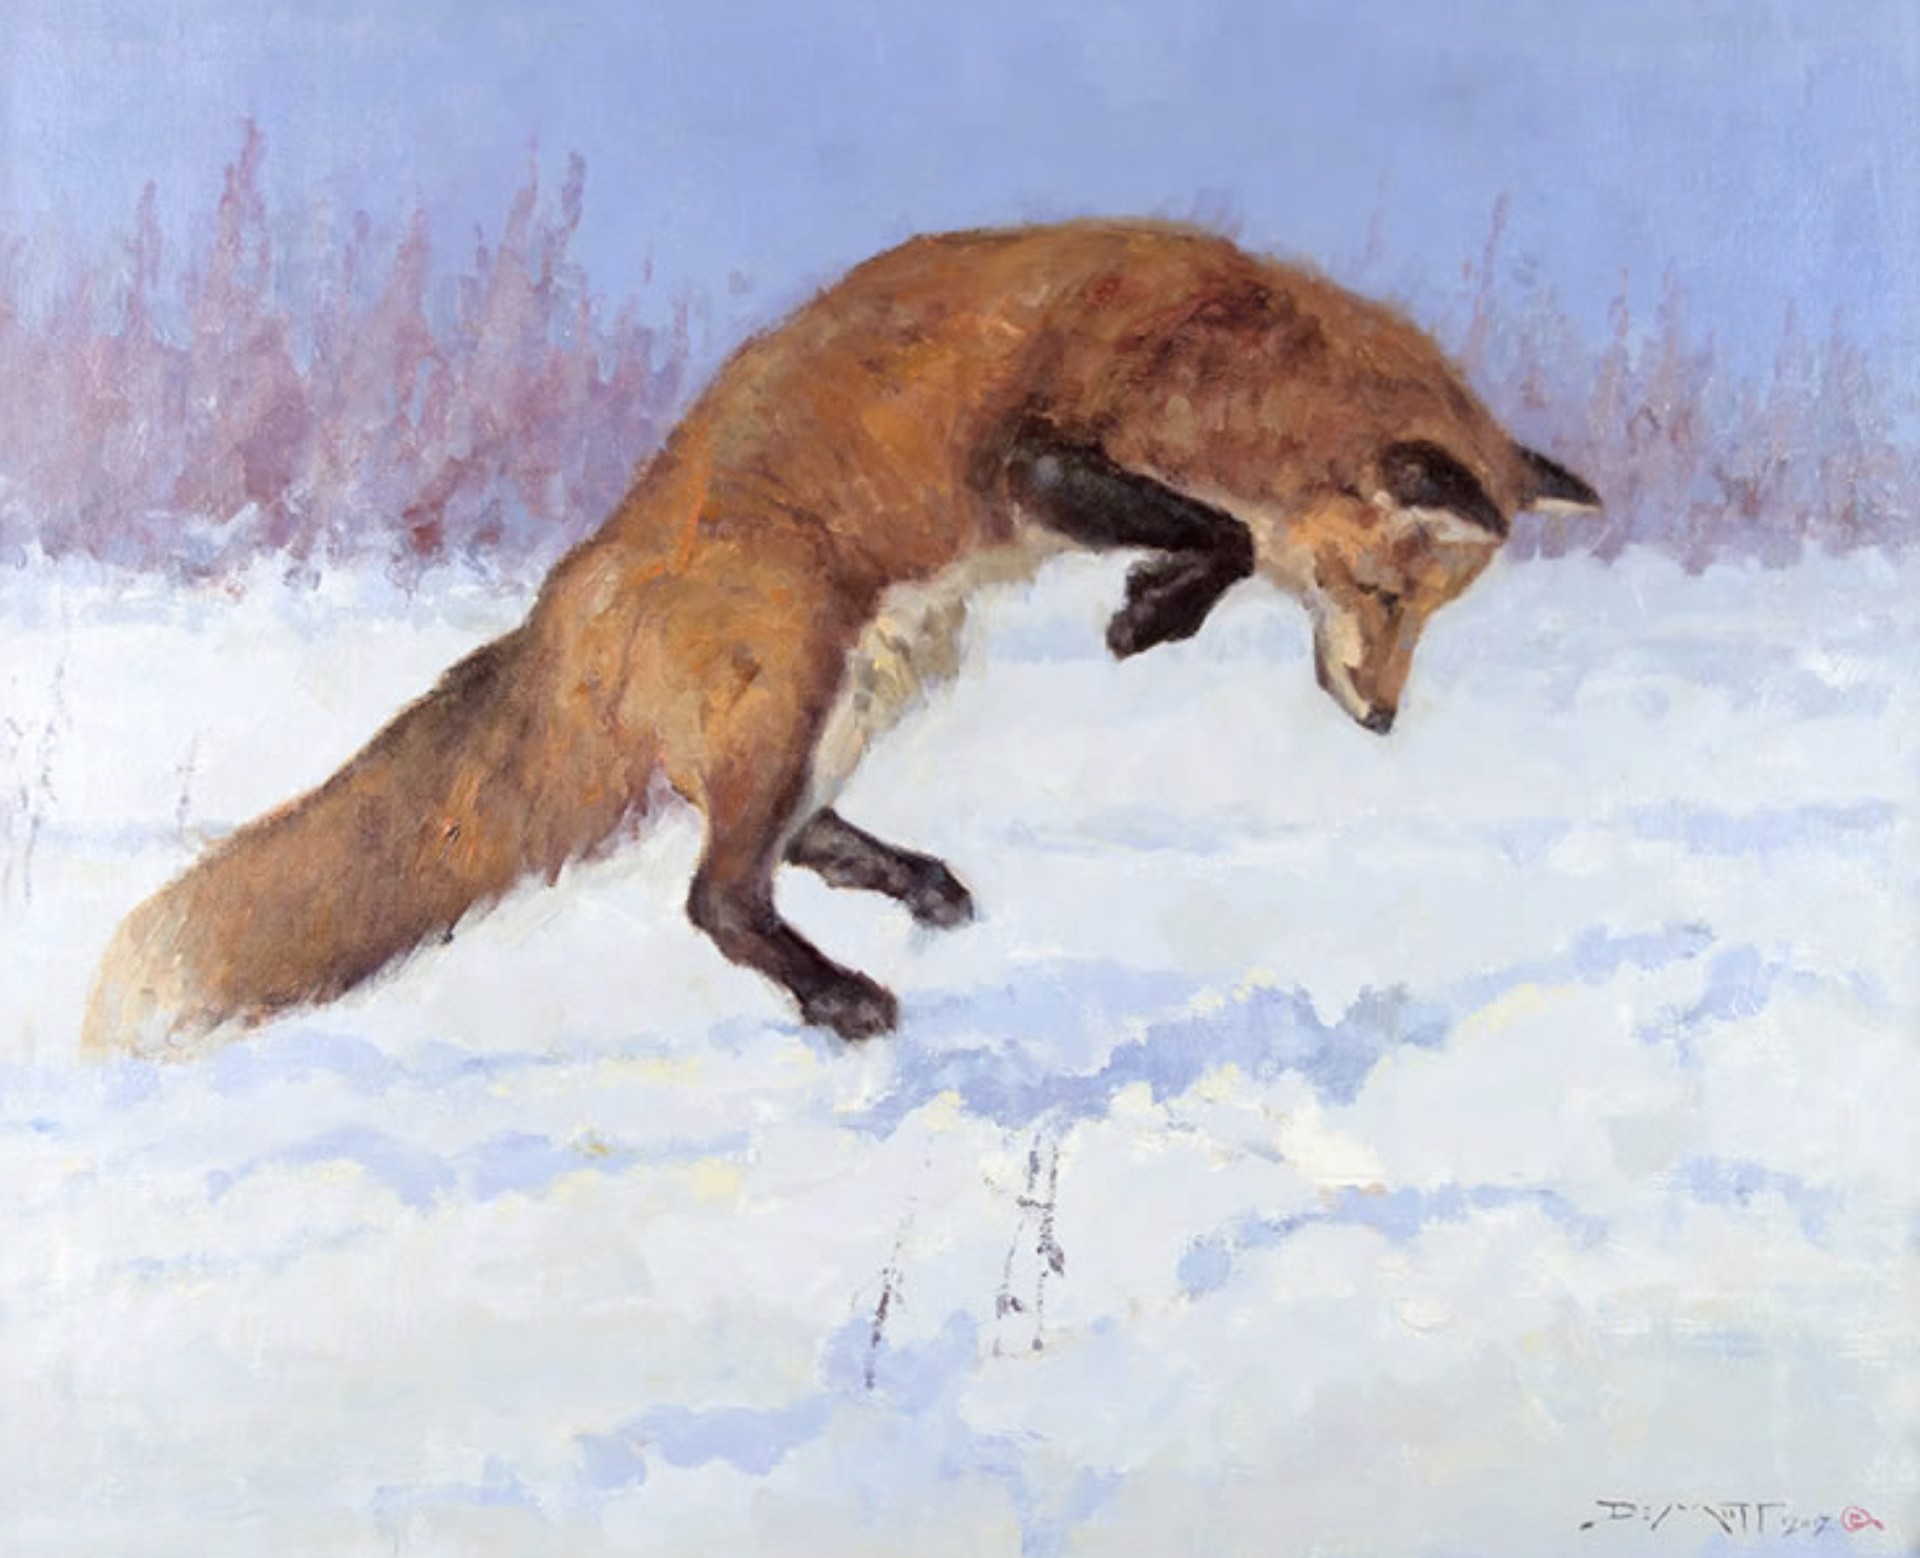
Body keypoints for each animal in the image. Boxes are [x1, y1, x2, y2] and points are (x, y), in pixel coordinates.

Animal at [83, 219, 1599, 1055]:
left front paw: (1158, 598)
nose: (1384, 719)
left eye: (1426, 622)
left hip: (876, 675)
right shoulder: (1039, 452)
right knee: (717, 891)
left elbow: (1218, 535)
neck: (1249, 365)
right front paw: (1152, 612)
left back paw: (915, 884)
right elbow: (1217, 534)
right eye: (1389, 602)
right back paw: (839, 997)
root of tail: (581, 590)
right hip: (800, 674)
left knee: (779, 838)